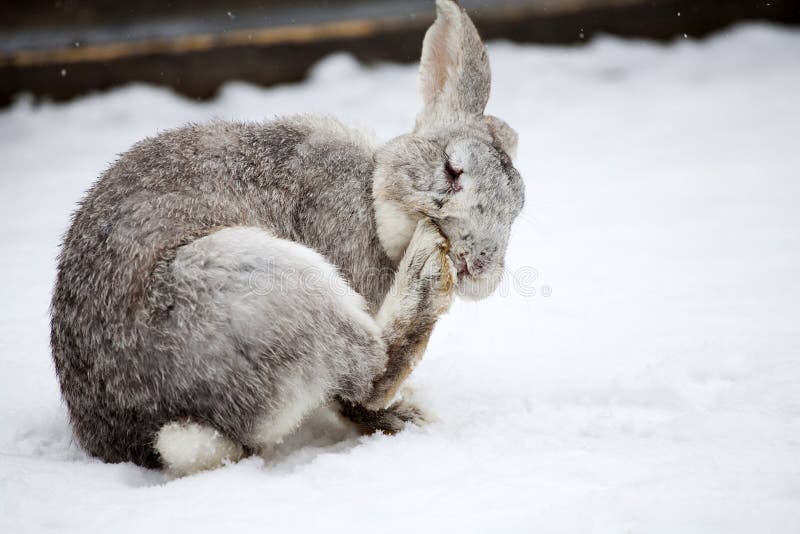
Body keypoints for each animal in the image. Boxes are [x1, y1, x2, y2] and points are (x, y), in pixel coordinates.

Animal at [50, 0, 525, 476]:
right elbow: (355, 397)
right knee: (372, 369)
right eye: (452, 170)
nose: (476, 265)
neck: (372, 193)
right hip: (267, 285)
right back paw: (425, 276)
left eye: (517, 205)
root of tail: (139, 437)